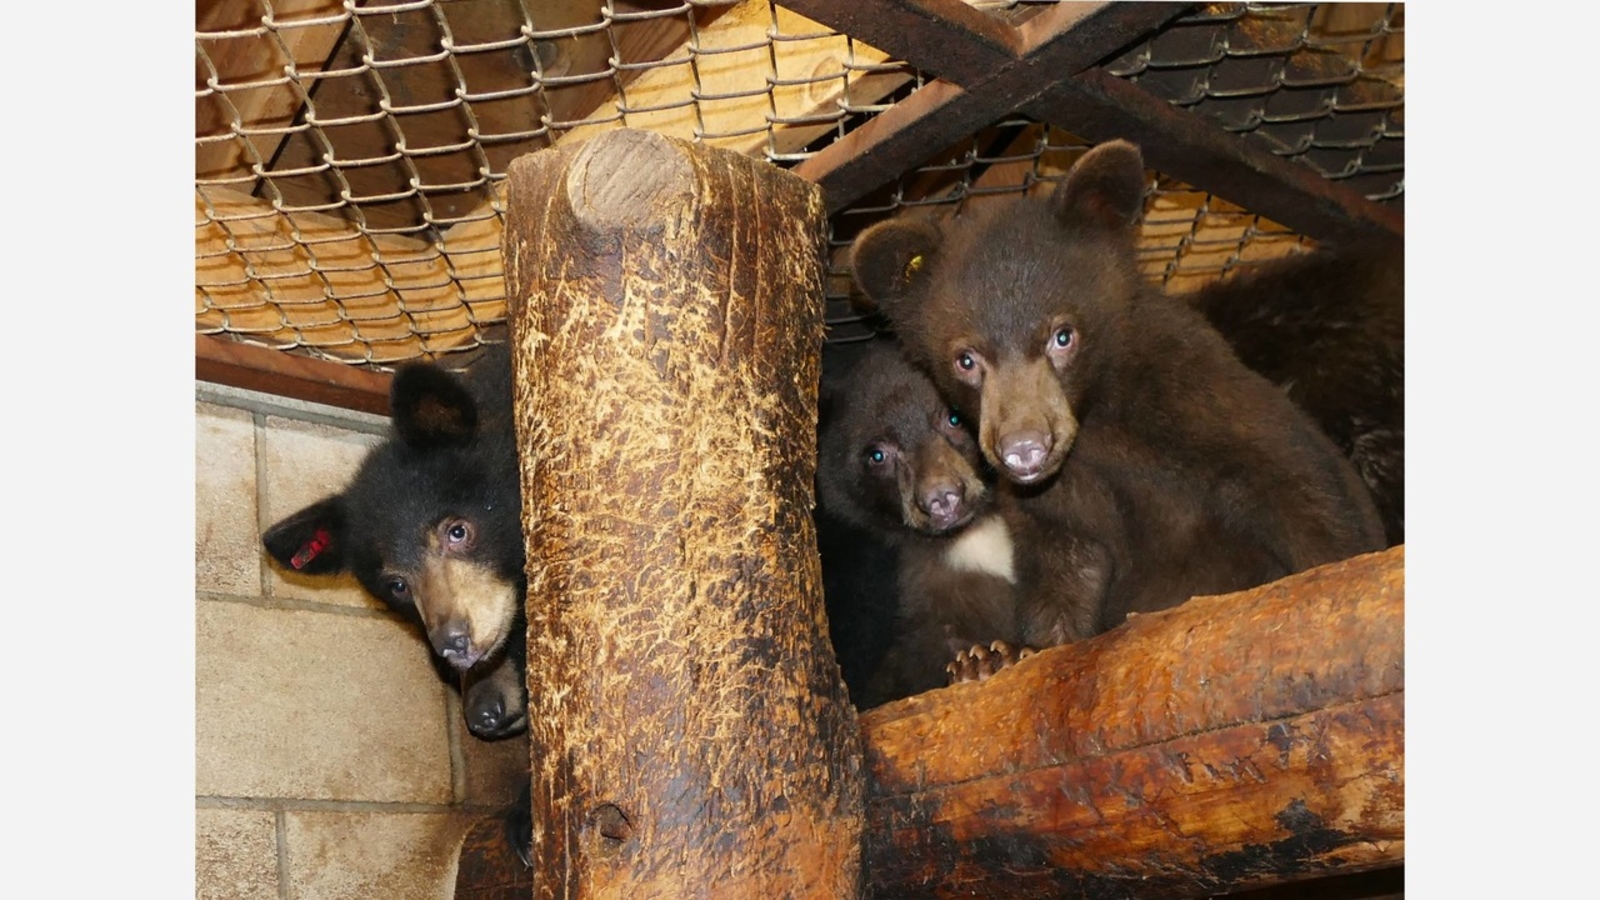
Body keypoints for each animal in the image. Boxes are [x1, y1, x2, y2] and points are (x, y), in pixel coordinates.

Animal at [816, 338, 1029, 707]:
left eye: (953, 417)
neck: (971, 532)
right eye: (877, 455)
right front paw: (978, 663)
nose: (942, 497)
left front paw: (998, 656)